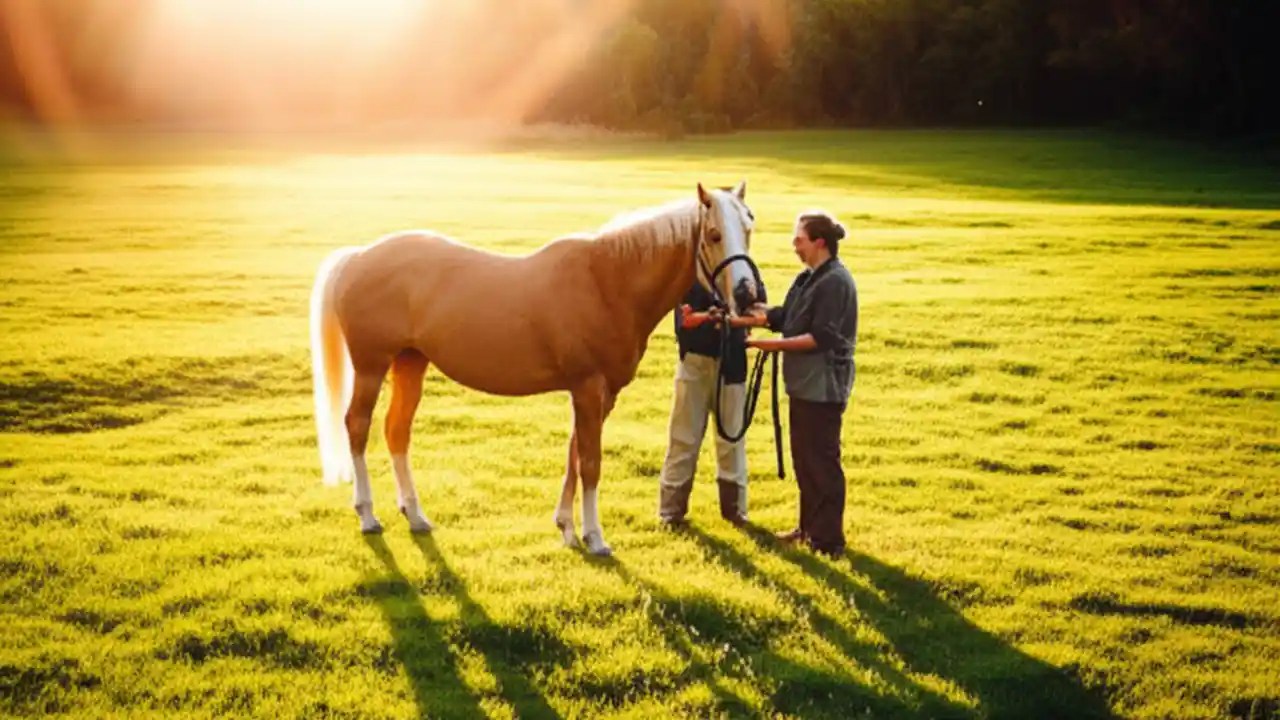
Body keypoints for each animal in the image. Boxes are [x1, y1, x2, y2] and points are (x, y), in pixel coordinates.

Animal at [309, 182, 758, 555]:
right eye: (714, 234)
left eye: (749, 227)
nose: (747, 294)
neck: (607, 281)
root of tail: (357, 257)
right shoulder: (588, 388)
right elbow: (590, 463)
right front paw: (595, 537)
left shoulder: (599, 395)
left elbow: (574, 454)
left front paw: (567, 528)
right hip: (371, 367)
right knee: (357, 427)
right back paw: (368, 515)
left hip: (410, 364)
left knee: (396, 430)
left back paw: (415, 515)